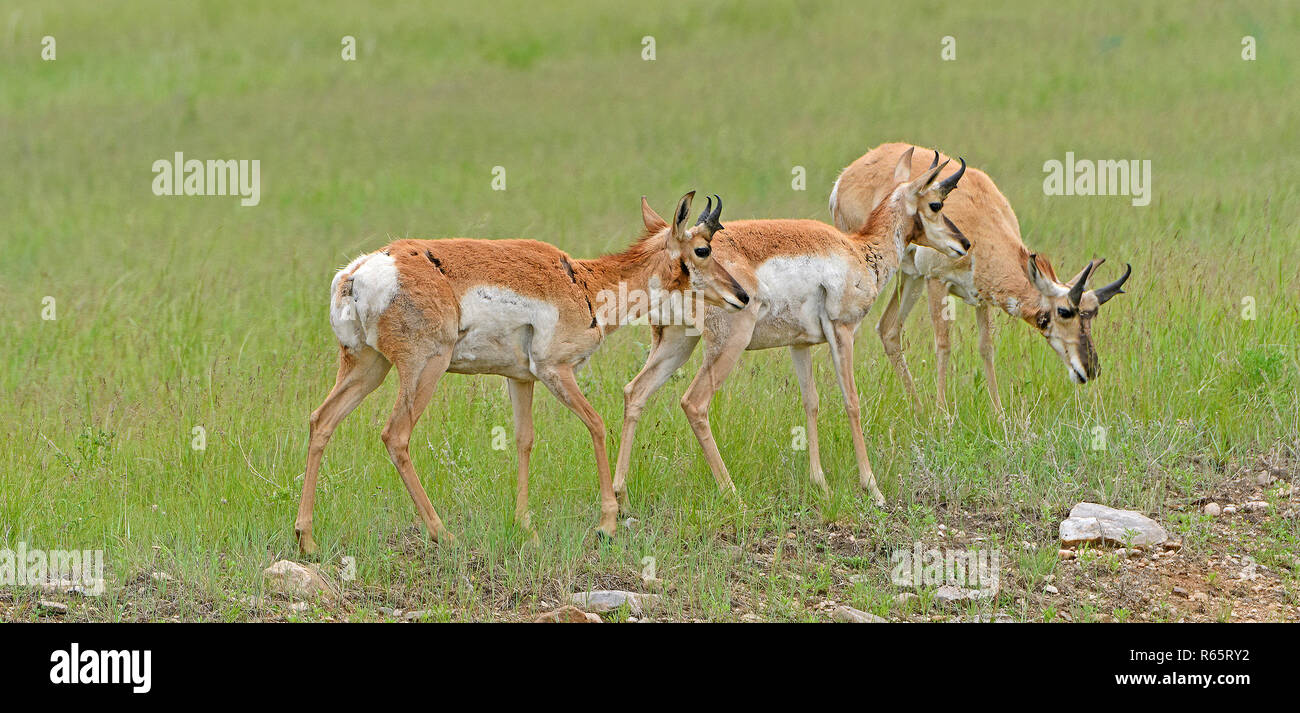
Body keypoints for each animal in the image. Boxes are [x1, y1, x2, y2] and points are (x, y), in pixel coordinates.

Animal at [294, 192, 747, 554]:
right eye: (703, 249)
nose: (742, 295)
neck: (586, 283)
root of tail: (356, 274)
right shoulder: (555, 371)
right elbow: (597, 425)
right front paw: (607, 524)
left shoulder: (521, 379)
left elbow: (524, 440)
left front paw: (525, 526)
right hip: (424, 368)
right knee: (395, 436)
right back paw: (444, 534)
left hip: (367, 366)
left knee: (321, 420)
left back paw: (307, 539)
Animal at [613, 149, 969, 508]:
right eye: (936, 203)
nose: (964, 243)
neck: (859, 250)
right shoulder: (843, 333)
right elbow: (851, 402)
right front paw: (873, 489)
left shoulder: (799, 345)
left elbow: (811, 402)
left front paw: (820, 483)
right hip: (726, 346)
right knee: (694, 403)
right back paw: (734, 495)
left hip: (676, 345)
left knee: (635, 392)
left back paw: (621, 497)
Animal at [830, 142, 1132, 414]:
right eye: (1065, 311)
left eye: (1092, 314)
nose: (1091, 369)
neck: (982, 223)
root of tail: (847, 175)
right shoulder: (937, 283)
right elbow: (944, 345)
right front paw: (942, 414)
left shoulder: (981, 298)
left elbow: (986, 348)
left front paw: (998, 413)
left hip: (910, 277)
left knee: (889, 329)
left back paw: (918, 409)